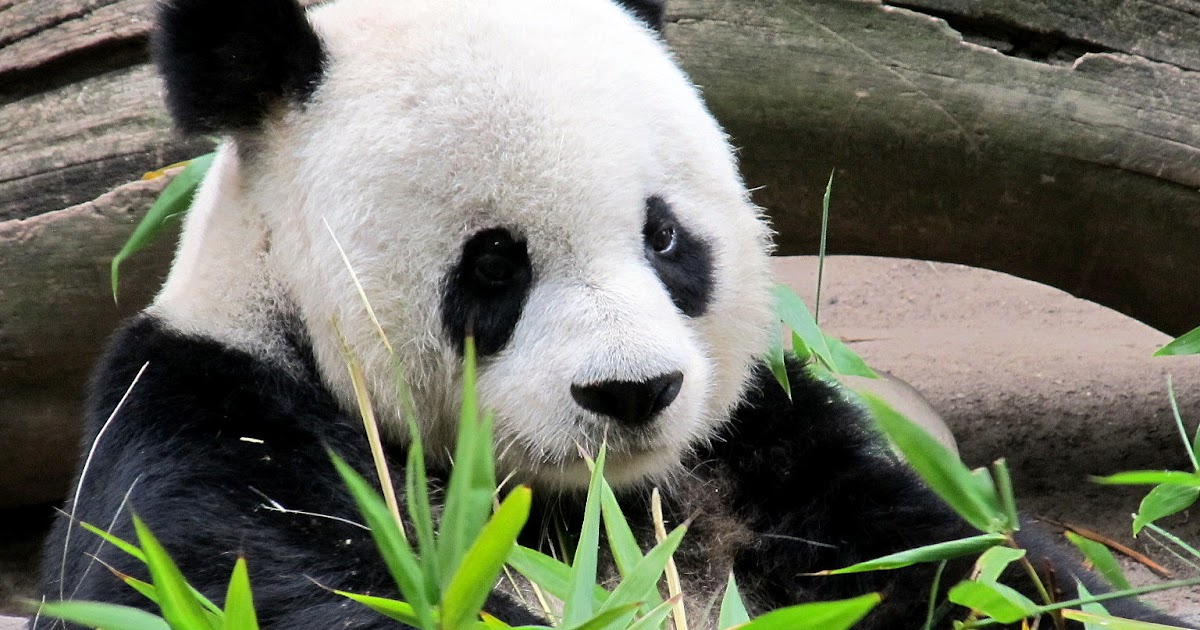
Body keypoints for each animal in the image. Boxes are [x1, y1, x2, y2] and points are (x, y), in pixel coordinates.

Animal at [35, 0, 1188, 628]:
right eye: (493, 266)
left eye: (665, 238)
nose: (632, 393)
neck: (578, 507)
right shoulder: (208, 429)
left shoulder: (763, 451)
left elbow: (972, 563)